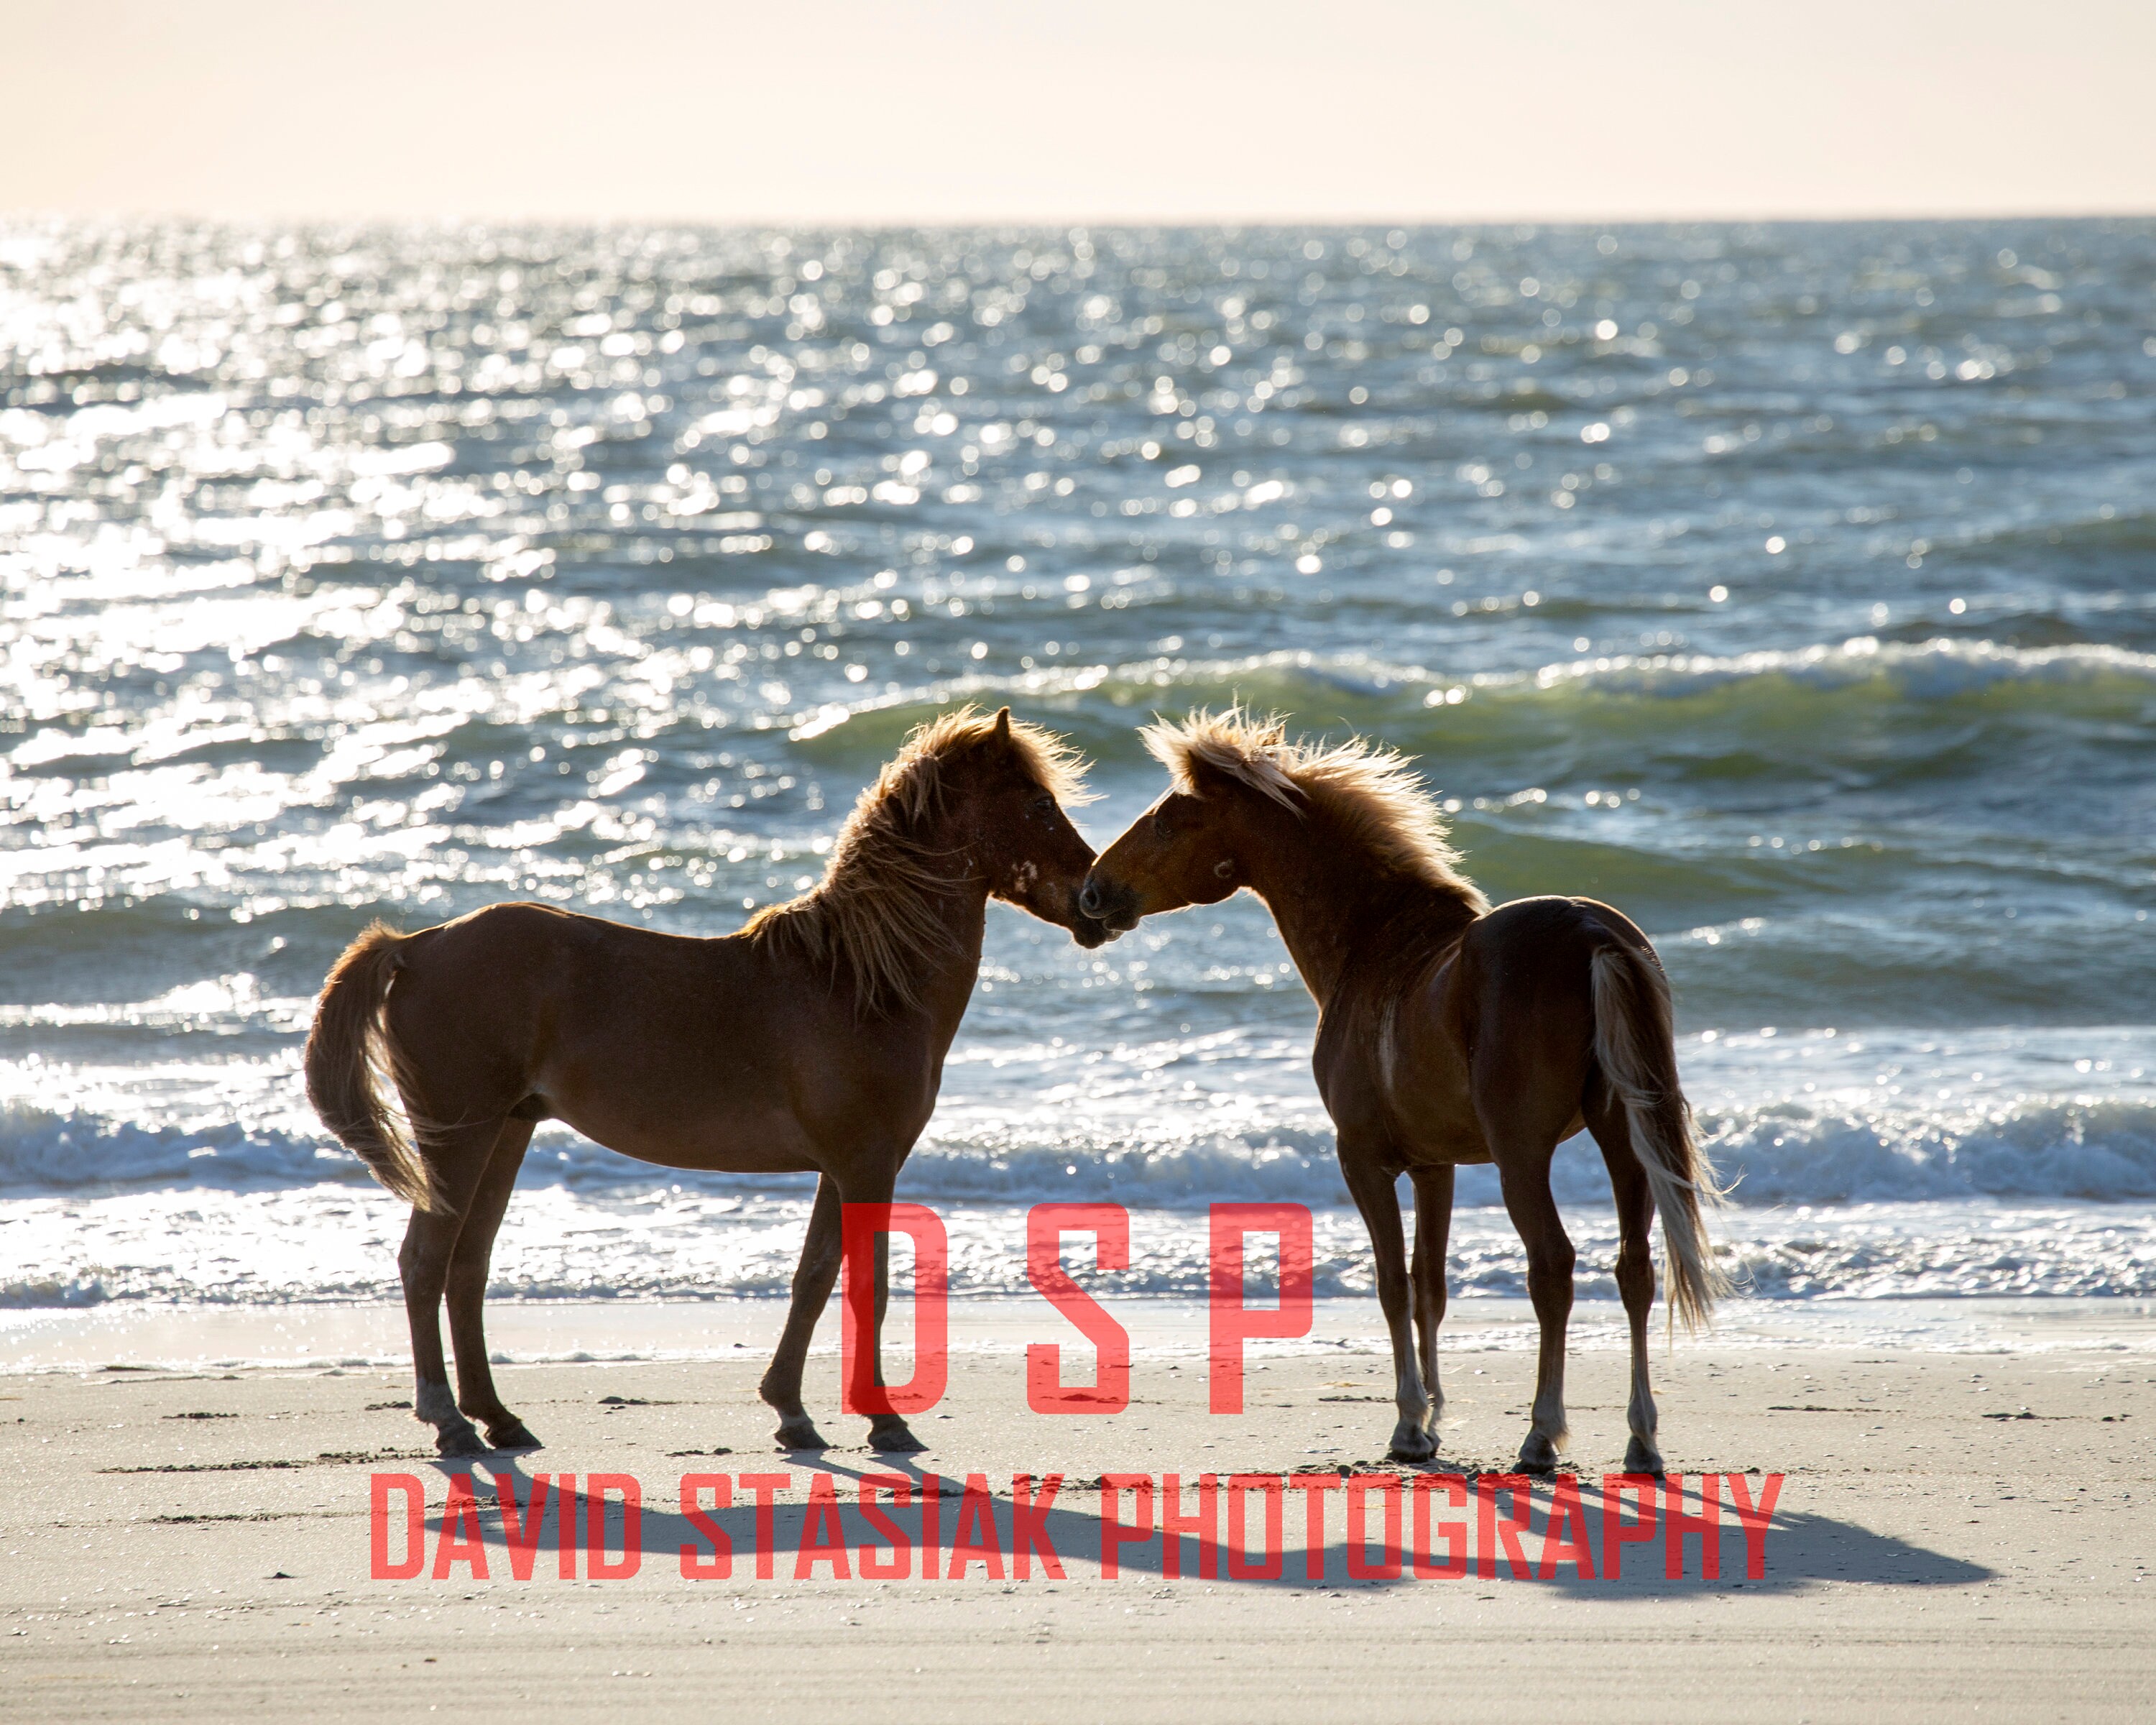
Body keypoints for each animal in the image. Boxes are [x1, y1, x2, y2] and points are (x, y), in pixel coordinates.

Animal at [305, 706, 1105, 1458]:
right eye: (1039, 804)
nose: (1101, 902)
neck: (859, 981)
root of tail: (414, 948)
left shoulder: (840, 1167)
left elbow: (815, 1277)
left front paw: (792, 1412)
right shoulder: (868, 1163)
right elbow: (866, 1286)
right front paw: (883, 1421)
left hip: (507, 1132)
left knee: (467, 1268)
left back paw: (498, 1419)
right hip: (462, 1136)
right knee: (425, 1264)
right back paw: (449, 1421)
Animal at [1079, 710, 1726, 1475]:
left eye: (1168, 822)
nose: (1091, 893)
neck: (1373, 944)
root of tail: (1592, 933)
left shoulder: (1363, 1159)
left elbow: (1391, 1284)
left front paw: (1411, 1424)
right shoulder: (1433, 1166)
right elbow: (1429, 1288)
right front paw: (1438, 1415)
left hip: (1523, 1155)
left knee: (1553, 1268)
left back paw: (1541, 1435)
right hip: (1624, 1141)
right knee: (1634, 1271)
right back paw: (1641, 1439)